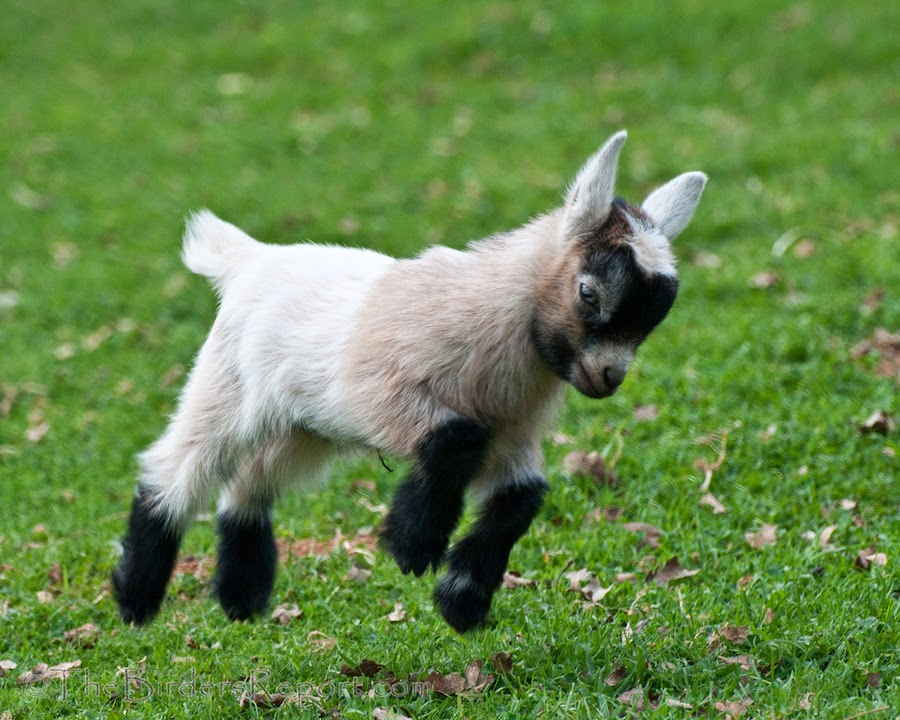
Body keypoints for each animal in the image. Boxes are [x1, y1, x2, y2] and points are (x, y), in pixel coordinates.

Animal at [112, 130, 706, 632]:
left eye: (651, 322)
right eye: (589, 292)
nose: (609, 376)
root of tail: (249, 257)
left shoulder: (512, 432)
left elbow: (522, 497)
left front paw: (462, 599)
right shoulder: (379, 391)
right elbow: (455, 439)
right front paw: (412, 546)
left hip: (305, 427)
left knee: (249, 481)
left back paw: (242, 595)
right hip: (229, 387)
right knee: (176, 466)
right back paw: (136, 598)